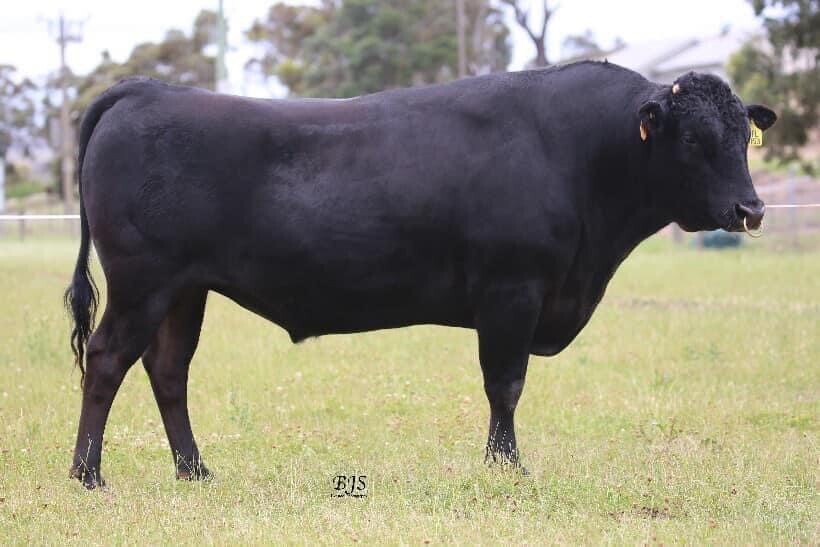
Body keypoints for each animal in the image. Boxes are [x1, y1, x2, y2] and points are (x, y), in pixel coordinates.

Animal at [65, 61, 776, 488]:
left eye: (745, 136)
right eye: (693, 140)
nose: (751, 209)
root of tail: (146, 89)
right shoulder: (512, 291)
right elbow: (505, 385)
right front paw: (505, 468)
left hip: (184, 290)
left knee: (168, 370)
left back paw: (195, 471)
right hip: (142, 282)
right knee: (106, 360)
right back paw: (88, 475)